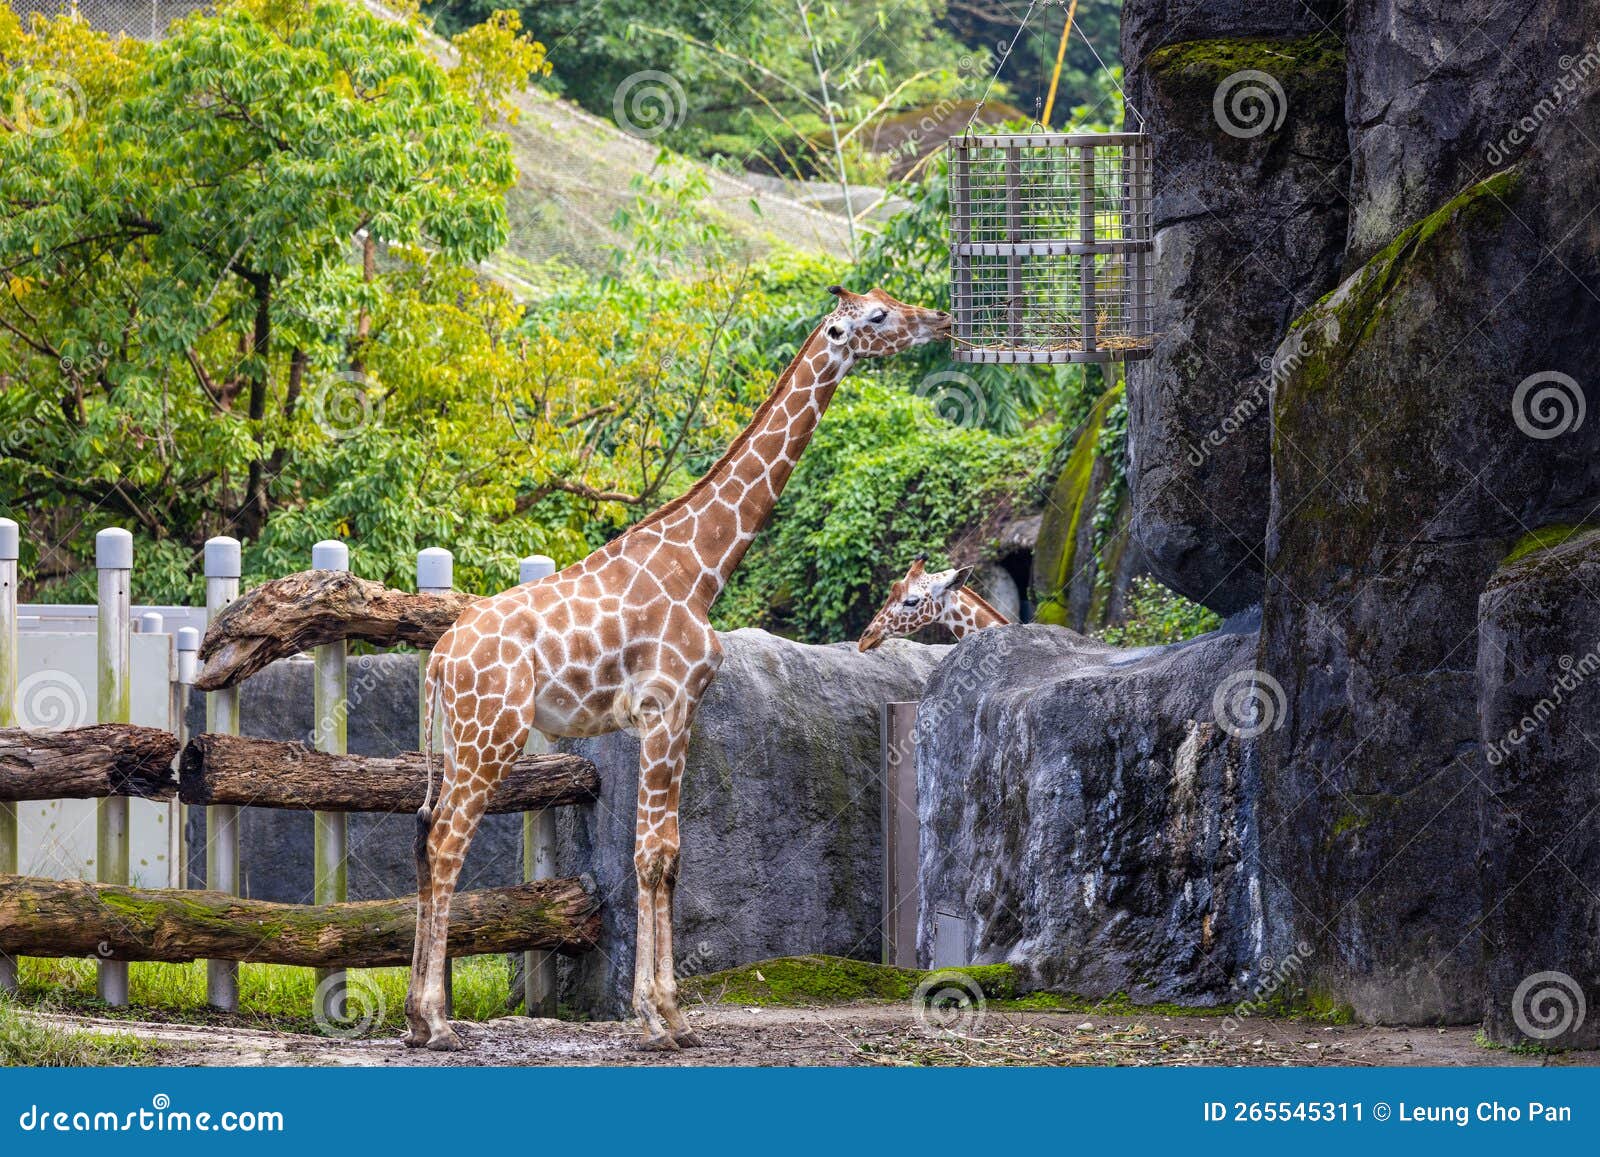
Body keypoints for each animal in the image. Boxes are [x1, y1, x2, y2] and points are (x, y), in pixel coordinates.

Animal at [406, 286, 951, 1051]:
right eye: (875, 316)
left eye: (888, 300)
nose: (943, 320)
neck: (702, 569)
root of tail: (440, 657)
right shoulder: (666, 709)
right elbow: (653, 854)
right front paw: (659, 1015)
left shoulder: (672, 717)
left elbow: (667, 853)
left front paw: (665, 1014)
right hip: (494, 736)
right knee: (448, 843)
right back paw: (437, 1021)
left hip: (458, 741)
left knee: (427, 841)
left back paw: (412, 1020)